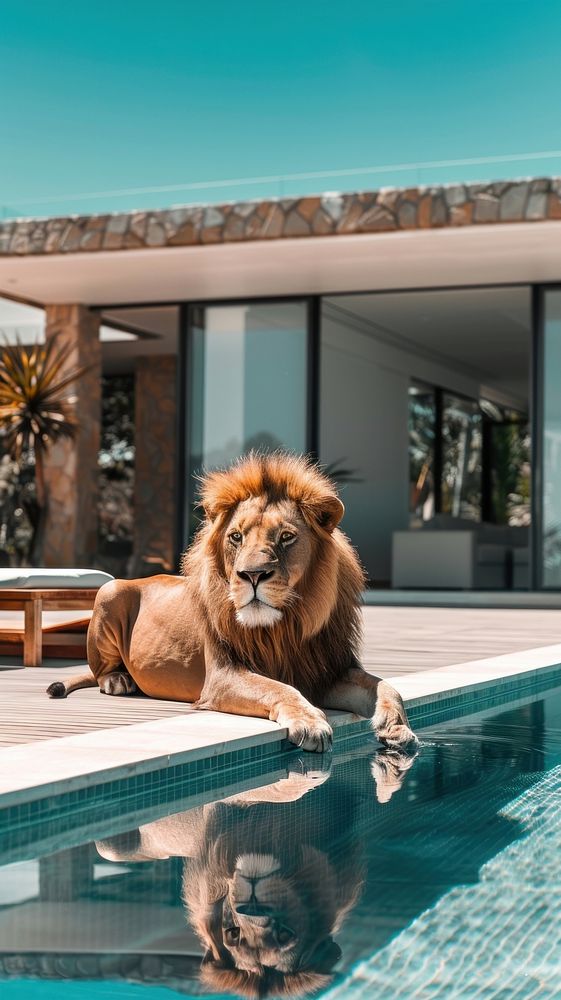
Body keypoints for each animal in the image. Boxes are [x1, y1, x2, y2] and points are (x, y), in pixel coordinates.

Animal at [47, 452, 416, 752]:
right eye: (236, 536)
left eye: (286, 537)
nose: (251, 575)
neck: (285, 626)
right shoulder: (223, 676)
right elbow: (279, 688)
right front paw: (310, 722)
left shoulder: (327, 670)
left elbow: (386, 687)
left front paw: (396, 727)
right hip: (110, 591)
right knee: (100, 669)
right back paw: (118, 680)